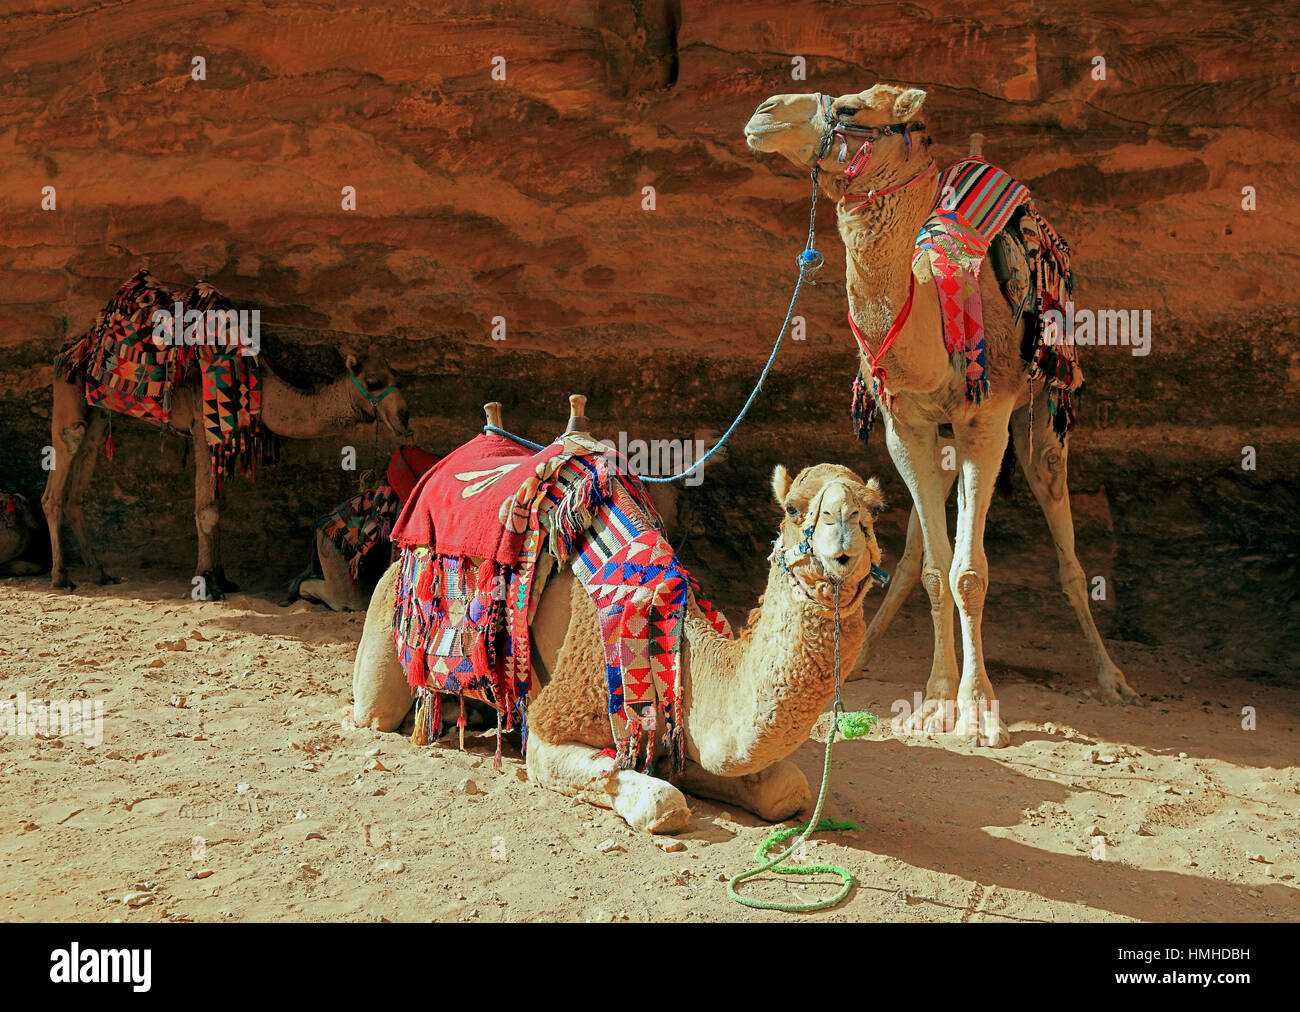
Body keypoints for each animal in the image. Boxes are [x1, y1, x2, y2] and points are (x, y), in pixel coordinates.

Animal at [43, 346, 412, 596]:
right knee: (63, 459)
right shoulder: (202, 428)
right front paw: (206, 583)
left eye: (398, 377)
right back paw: (61, 576)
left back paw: (100, 572)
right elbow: (207, 510)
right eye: (374, 381)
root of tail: (68, 351)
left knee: (82, 471)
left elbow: (217, 507)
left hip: (98, 412)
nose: (405, 416)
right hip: (68, 391)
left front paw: (222, 577)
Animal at [351, 402, 885, 832]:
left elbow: (786, 790)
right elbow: (662, 804)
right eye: (794, 508)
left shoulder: (680, 733)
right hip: (386, 624)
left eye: (874, 510)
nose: (842, 533)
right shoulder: (553, 725)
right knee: (374, 711)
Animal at [745, 83, 1139, 746]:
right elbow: (933, 569)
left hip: (1041, 413)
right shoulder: (906, 425)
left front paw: (977, 709)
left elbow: (969, 573)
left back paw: (1113, 678)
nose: (764, 112)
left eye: (850, 109)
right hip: (946, 442)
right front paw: (934, 700)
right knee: (914, 554)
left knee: (1062, 536)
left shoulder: (988, 420)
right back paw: (863, 657)